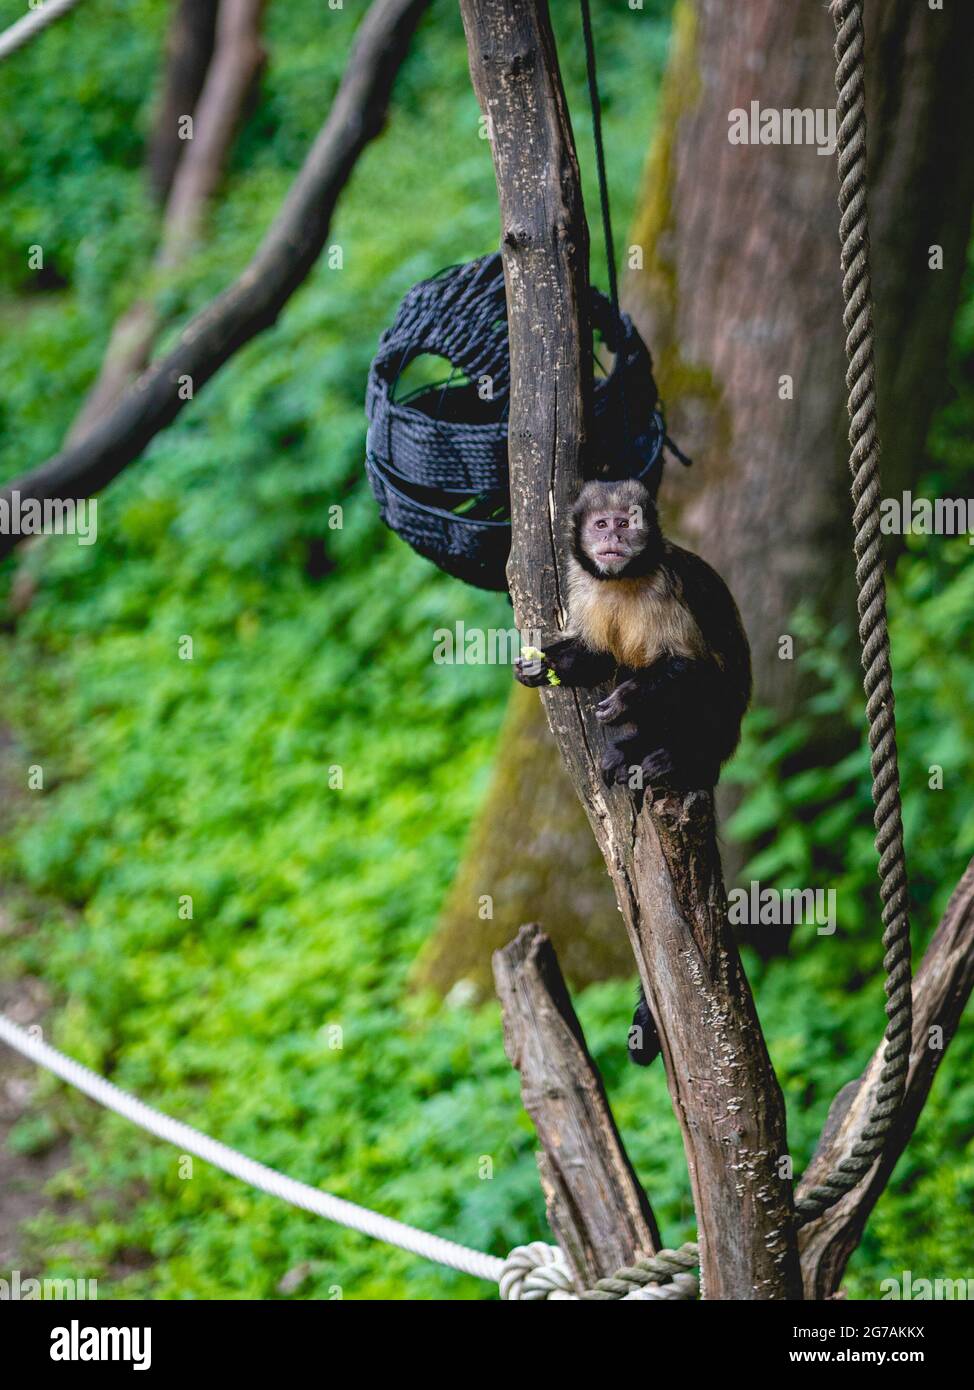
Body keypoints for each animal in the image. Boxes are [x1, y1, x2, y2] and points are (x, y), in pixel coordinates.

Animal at [513, 476, 751, 1064]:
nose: (614, 538)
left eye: (628, 522)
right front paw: (541, 667)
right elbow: (595, 655)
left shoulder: (664, 588)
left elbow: (687, 668)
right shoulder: (584, 587)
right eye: (602, 524)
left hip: (719, 734)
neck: (623, 582)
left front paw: (626, 700)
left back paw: (667, 757)